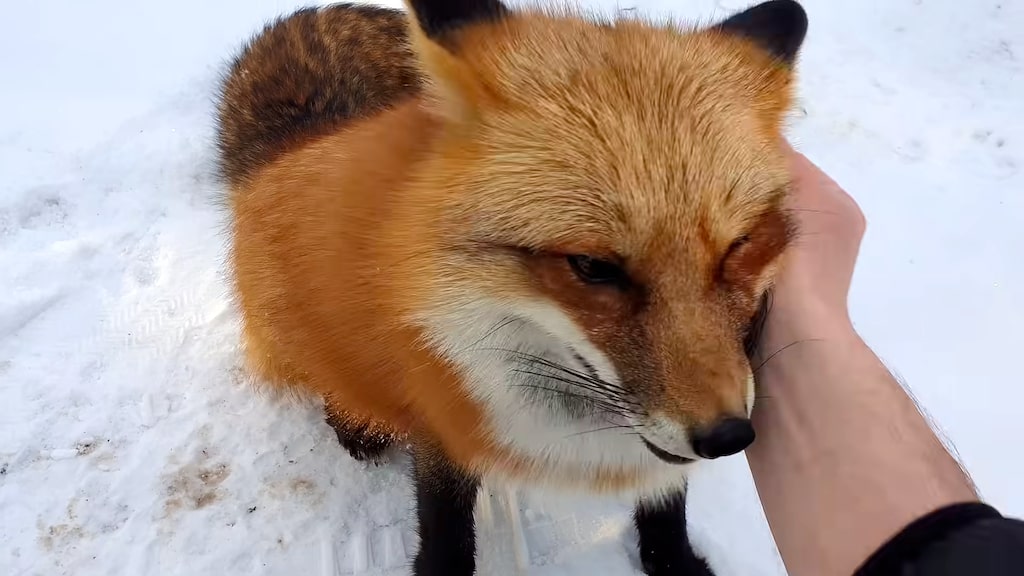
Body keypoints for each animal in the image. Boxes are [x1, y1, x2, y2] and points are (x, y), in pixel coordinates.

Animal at [215, 0, 808, 574]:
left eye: (739, 245)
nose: (727, 437)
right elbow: (446, 536)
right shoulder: (441, 422)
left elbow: (665, 507)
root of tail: (298, 145)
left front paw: (675, 564)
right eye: (591, 266)